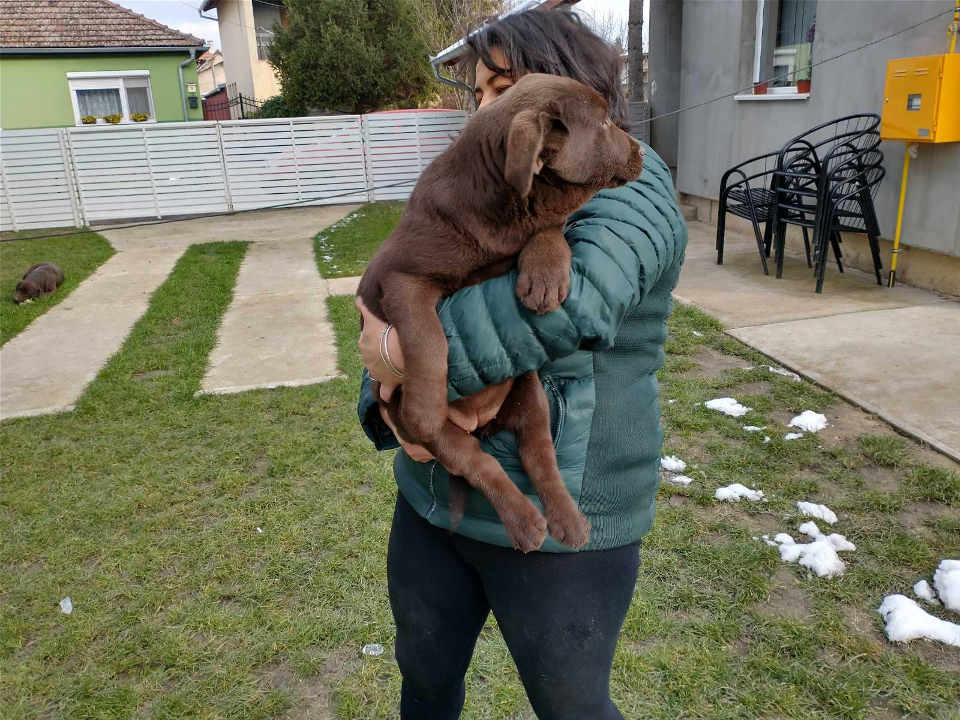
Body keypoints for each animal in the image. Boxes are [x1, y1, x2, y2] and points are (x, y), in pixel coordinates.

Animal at [360, 73, 644, 552]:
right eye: (605, 122)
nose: (641, 149)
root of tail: (483, 425)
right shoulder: (398, 279)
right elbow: (427, 335)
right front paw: (423, 403)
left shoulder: (537, 224)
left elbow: (549, 228)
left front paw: (544, 275)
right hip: (443, 434)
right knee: (481, 465)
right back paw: (526, 523)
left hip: (531, 398)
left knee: (540, 458)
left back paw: (567, 520)